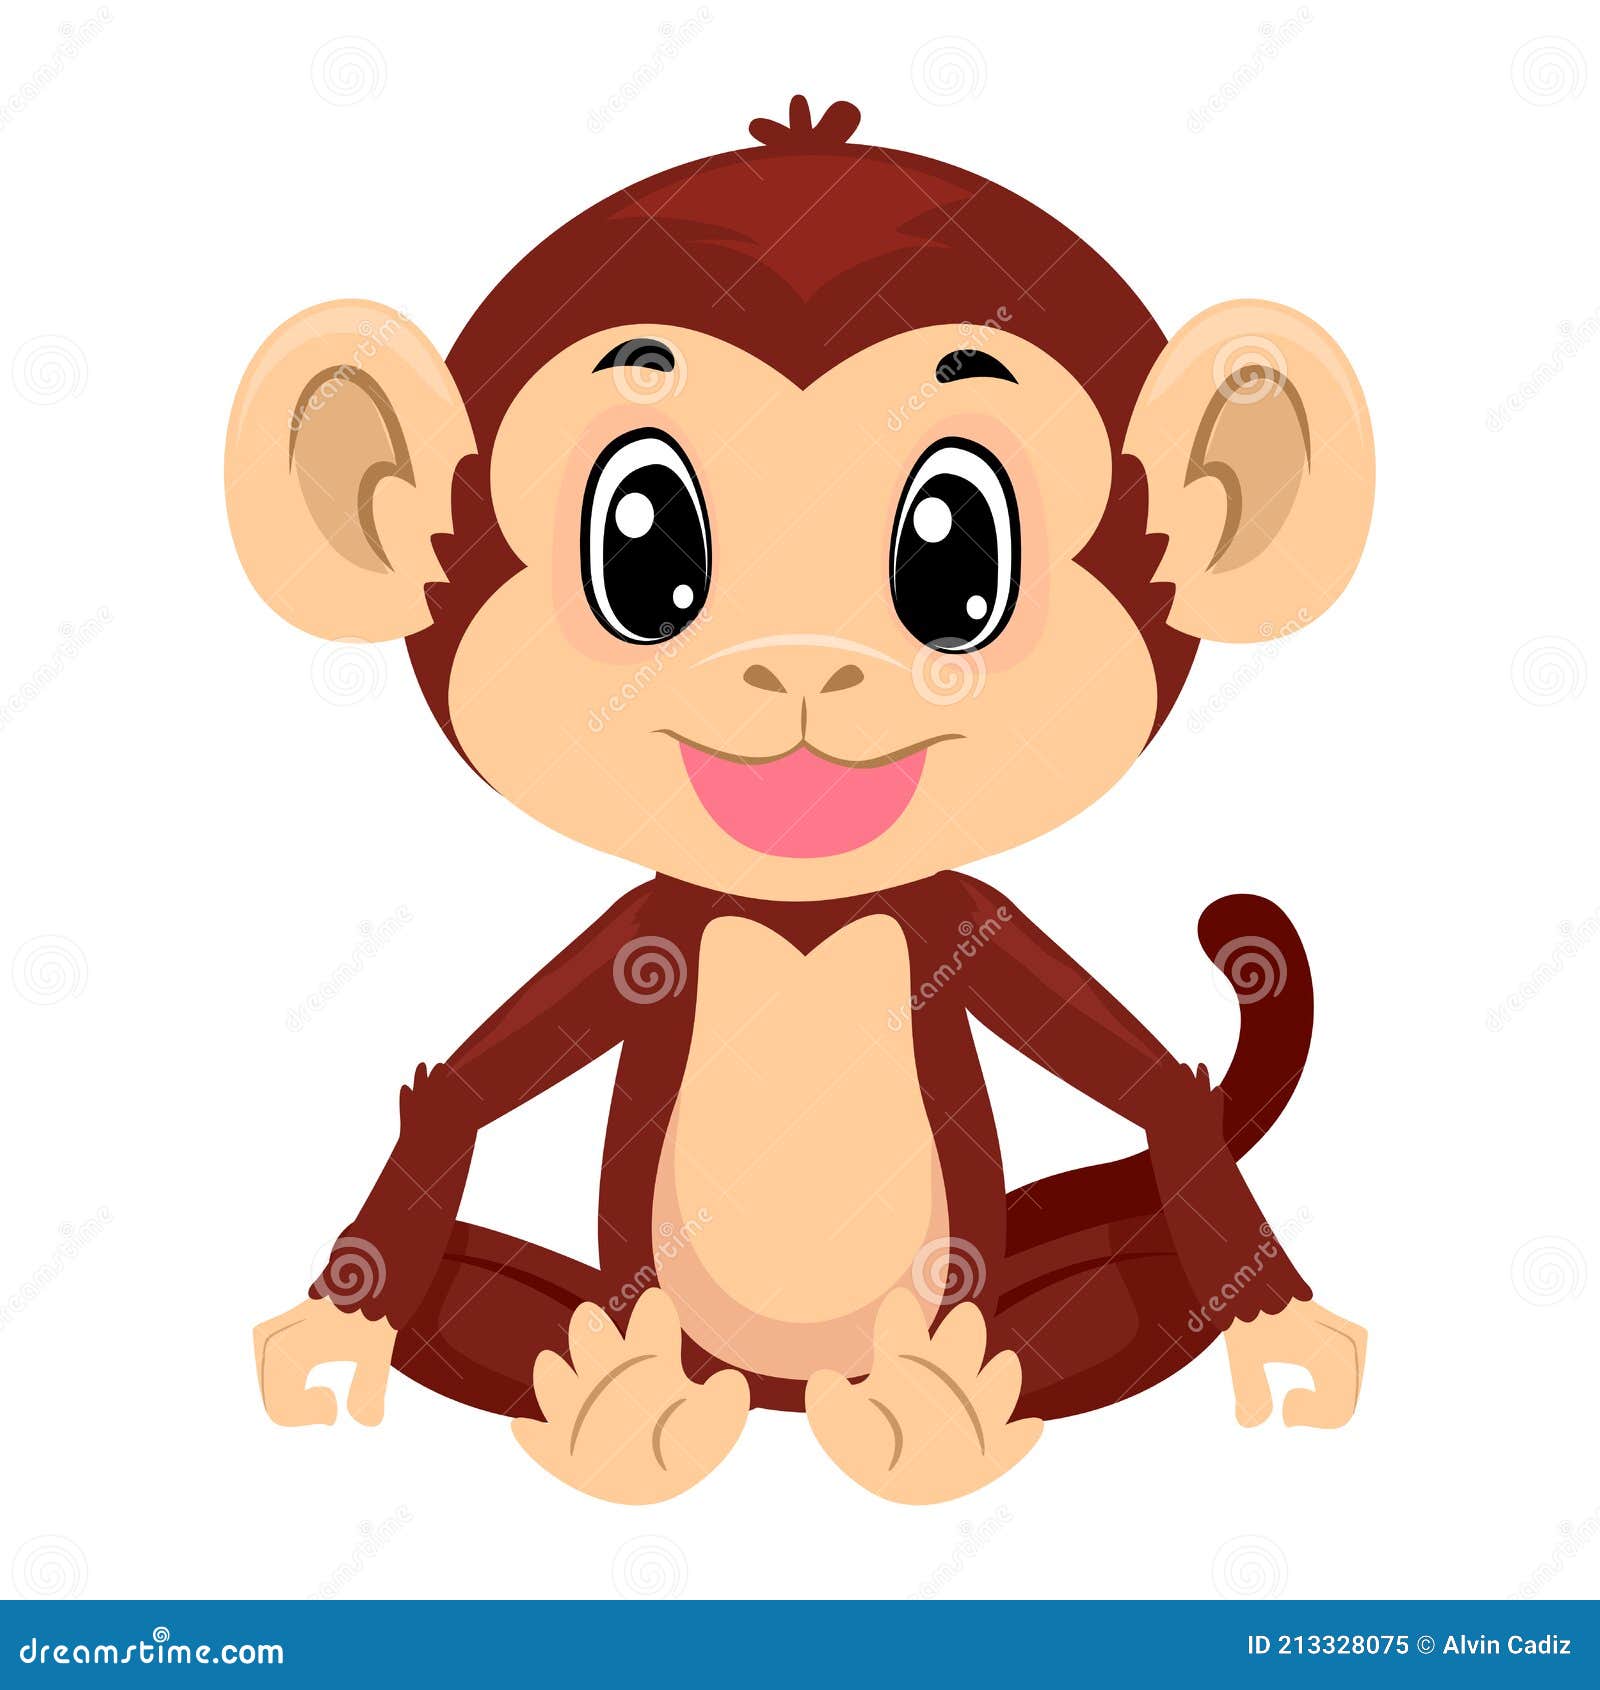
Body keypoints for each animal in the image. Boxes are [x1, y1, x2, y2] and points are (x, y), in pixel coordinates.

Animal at [235, 96, 1373, 1504]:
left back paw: (938, 1406)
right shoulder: (646, 935)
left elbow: (1155, 1089)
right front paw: (336, 1331)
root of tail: (780, 1401)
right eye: (641, 542)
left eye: (954, 554)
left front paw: (1284, 1333)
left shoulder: (965, 922)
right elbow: (466, 1087)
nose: (800, 668)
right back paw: (618, 1401)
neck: (803, 912)